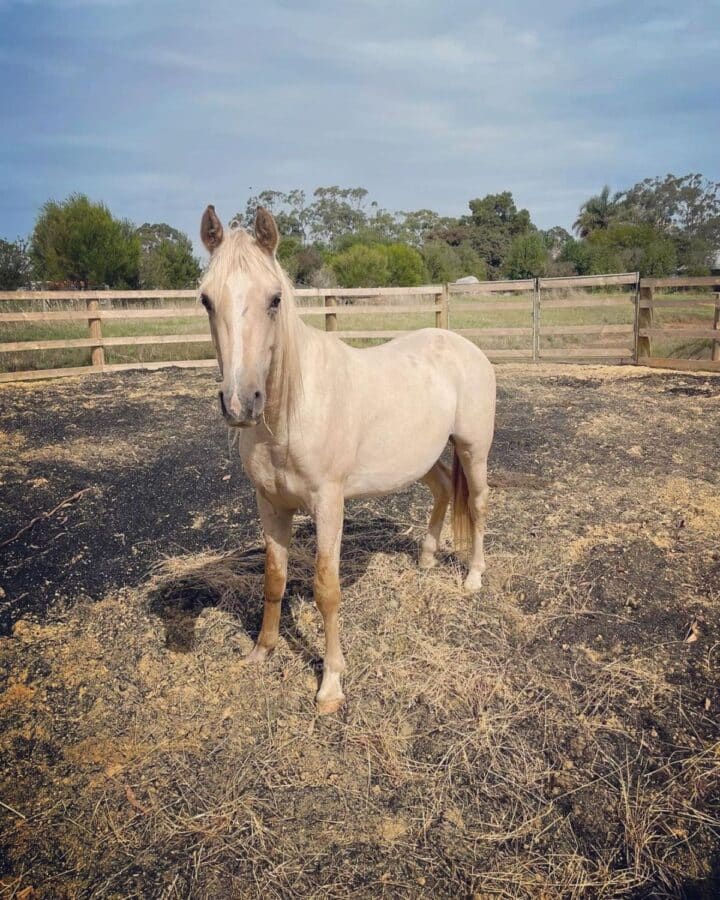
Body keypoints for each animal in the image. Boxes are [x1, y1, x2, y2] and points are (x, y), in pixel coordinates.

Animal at [198, 205, 496, 714]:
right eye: (205, 300)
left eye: (275, 299)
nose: (240, 403)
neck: (291, 410)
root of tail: (466, 347)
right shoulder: (269, 504)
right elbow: (274, 578)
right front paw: (262, 650)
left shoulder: (328, 504)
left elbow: (326, 589)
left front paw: (331, 684)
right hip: (424, 459)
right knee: (442, 490)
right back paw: (426, 558)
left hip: (473, 450)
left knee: (475, 503)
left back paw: (473, 577)